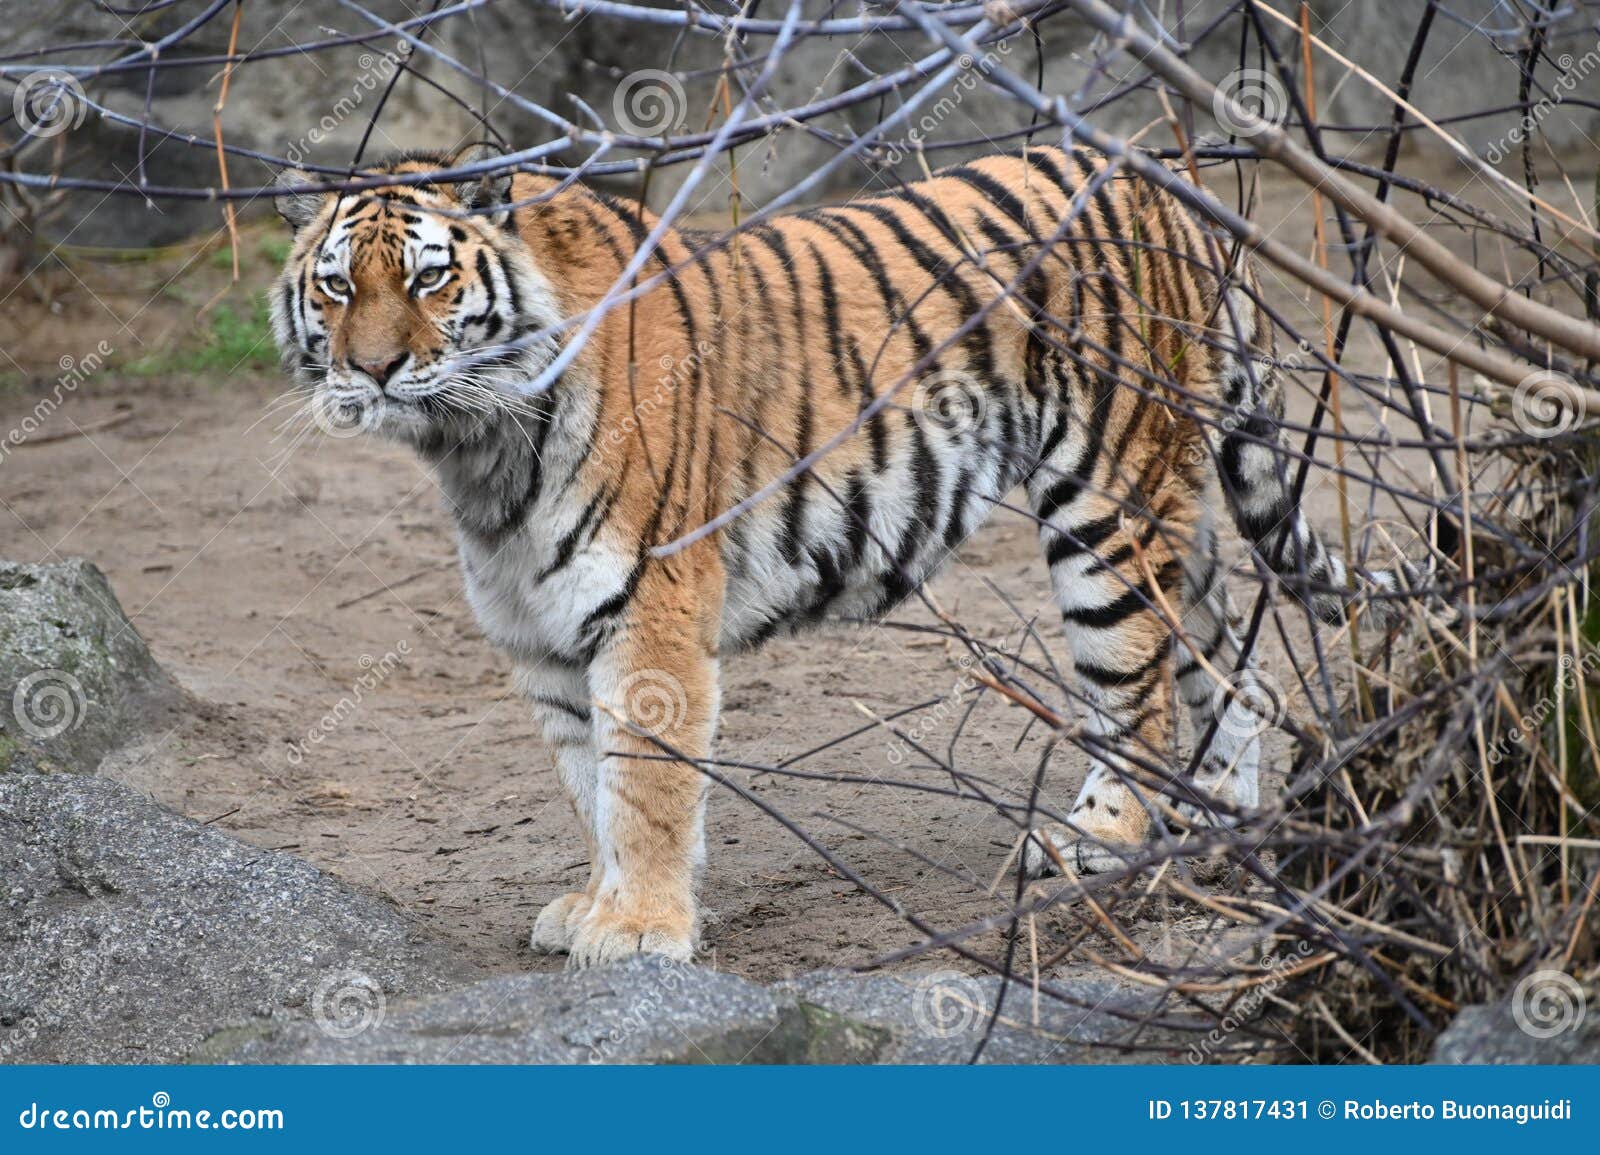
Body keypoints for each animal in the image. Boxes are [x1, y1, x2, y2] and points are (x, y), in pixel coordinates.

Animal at [270, 142, 1422, 967]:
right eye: (336, 287)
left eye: (428, 279)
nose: (373, 370)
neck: (476, 450)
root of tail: (1163, 185)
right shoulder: (544, 638)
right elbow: (588, 787)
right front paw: (597, 903)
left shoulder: (649, 610)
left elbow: (643, 786)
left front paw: (641, 930)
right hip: (1170, 505)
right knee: (1233, 671)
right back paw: (1221, 822)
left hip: (1110, 506)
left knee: (1134, 690)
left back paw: (1097, 837)